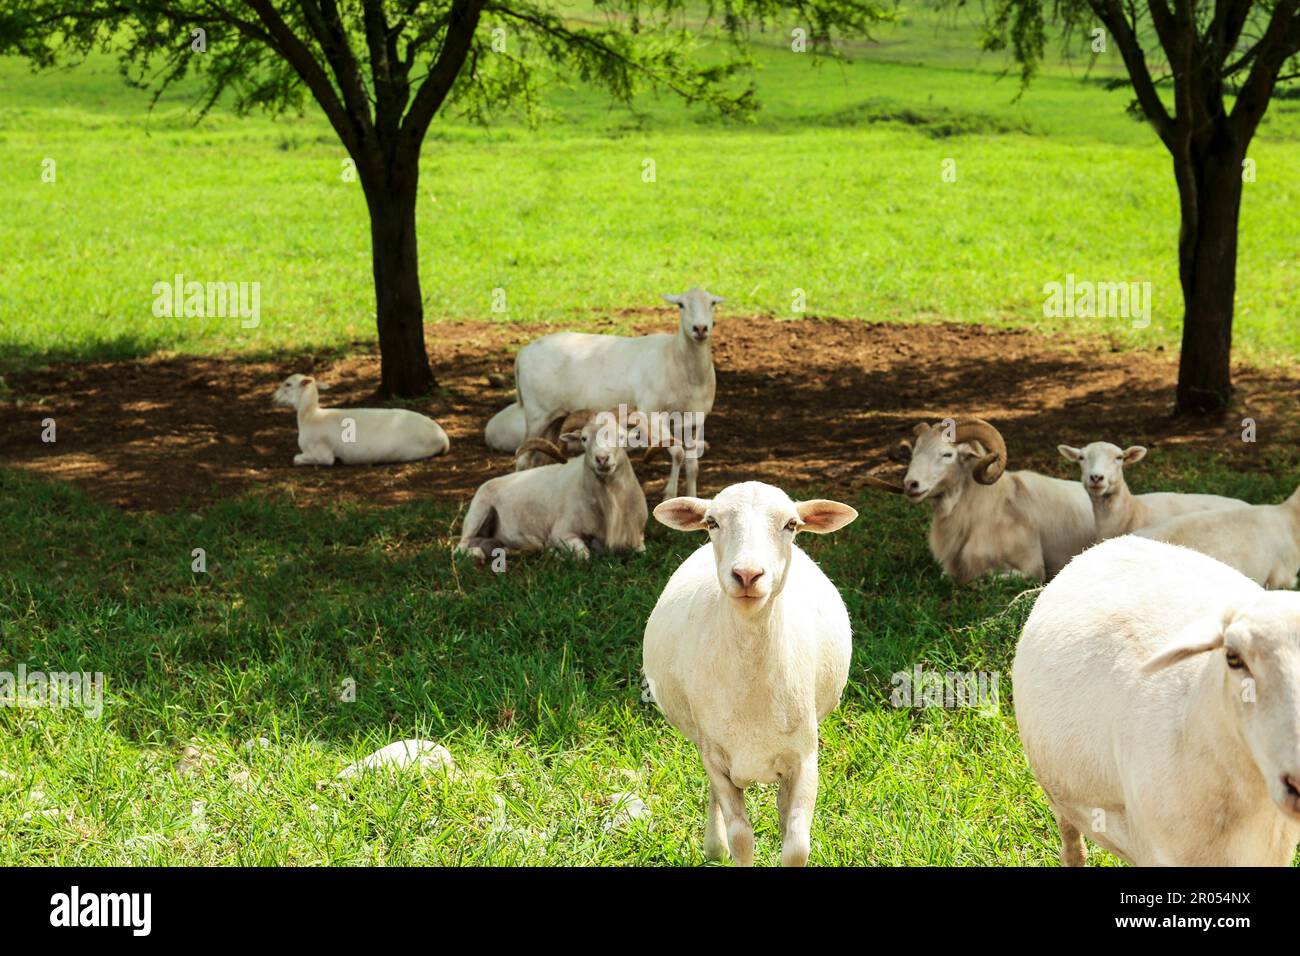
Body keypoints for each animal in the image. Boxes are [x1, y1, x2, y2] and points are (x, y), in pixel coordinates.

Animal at [272, 373, 449, 465]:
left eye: (288, 384)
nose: (273, 397)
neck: (311, 416)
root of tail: (443, 437)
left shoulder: (322, 454)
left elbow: (296, 458)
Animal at [456, 411, 648, 559]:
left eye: (621, 436)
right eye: (584, 438)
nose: (601, 459)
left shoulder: (639, 539)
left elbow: (640, 551)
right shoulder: (562, 533)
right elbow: (584, 555)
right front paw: (556, 553)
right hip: (478, 513)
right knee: (459, 548)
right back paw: (478, 554)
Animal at [512, 287, 718, 494]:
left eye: (713, 304)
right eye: (680, 304)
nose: (700, 329)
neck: (673, 356)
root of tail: (523, 352)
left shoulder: (693, 421)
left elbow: (692, 466)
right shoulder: (652, 415)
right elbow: (678, 453)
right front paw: (669, 495)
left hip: (555, 418)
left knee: (540, 458)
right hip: (537, 415)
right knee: (523, 460)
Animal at [643, 481, 858, 866]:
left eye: (791, 524)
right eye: (711, 522)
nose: (747, 575)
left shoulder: (805, 757)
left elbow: (796, 845)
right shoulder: (716, 756)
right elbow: (742, 837)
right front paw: (728, 846)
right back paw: (715, 847)